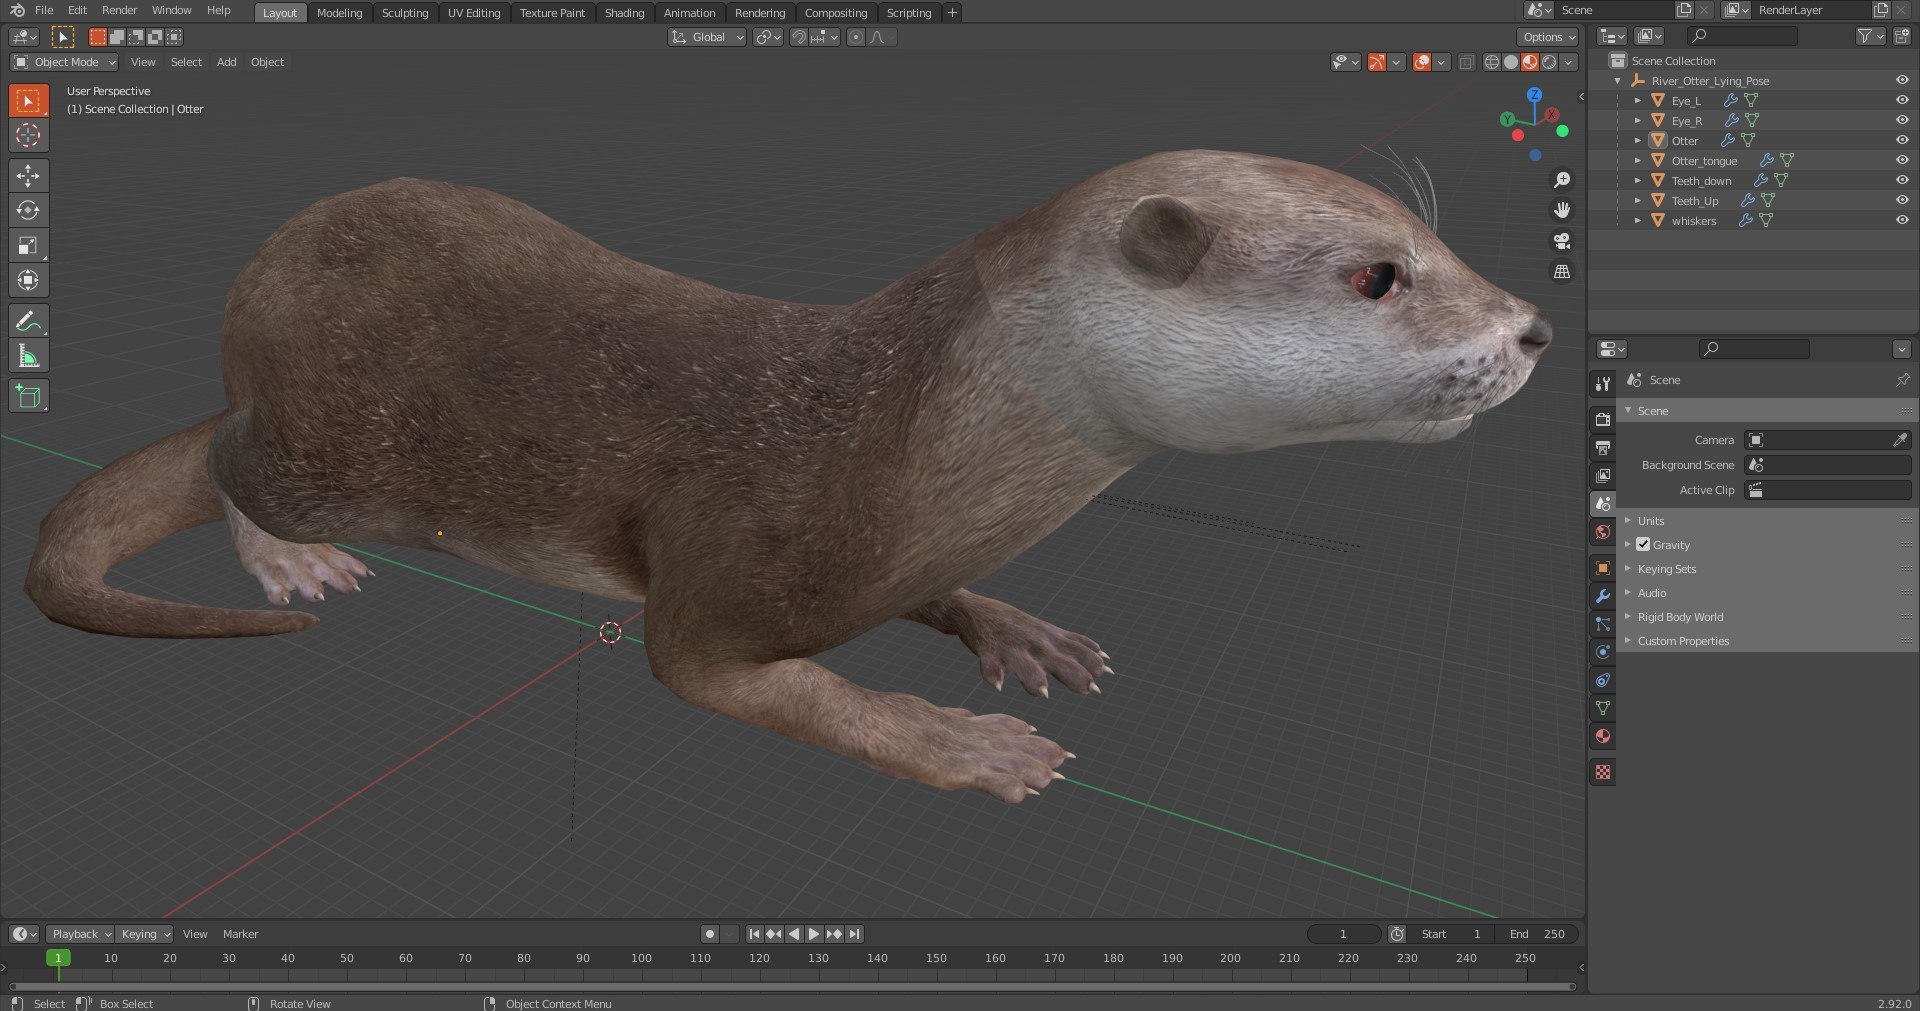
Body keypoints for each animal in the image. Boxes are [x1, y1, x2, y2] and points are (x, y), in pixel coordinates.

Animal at [25, 151, 1551, 804]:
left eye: (1429, 234)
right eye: (1379, 276)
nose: (1533, 327)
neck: (893, 436)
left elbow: (943, 592)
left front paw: (1013, 630)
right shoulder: (738, 545)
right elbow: (725, 672)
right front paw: (961, 742)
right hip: (336, 442)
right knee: (227, 460)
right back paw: (286, 556)